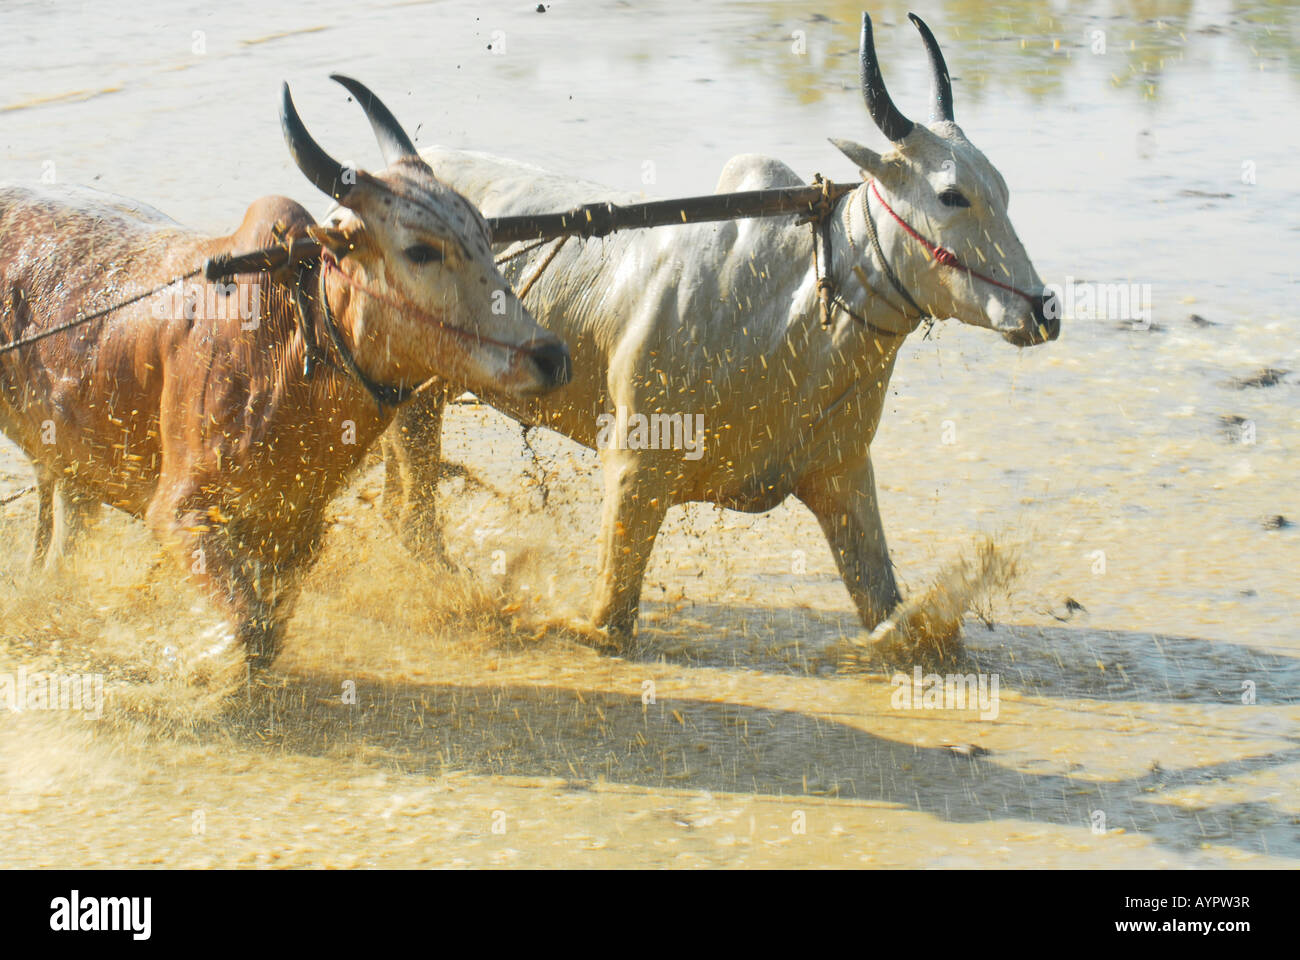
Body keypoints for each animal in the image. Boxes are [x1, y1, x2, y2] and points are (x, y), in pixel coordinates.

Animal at [0, 76, 570, 667]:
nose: (551, 356)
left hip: (71, 472)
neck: (295, 336)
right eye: (420, 250)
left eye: (485, 234)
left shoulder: (296, 527)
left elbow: (269, 626)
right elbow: (250, 627)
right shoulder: (181, 514)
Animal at [380, 12, 1060, 649]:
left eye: (1002, 190)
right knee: (413, 511)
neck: (795, 313)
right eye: (952, 195)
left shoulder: (842, 475)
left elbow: (892, 616)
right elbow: (609, 625)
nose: (1044, 310)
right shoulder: (635, 466)